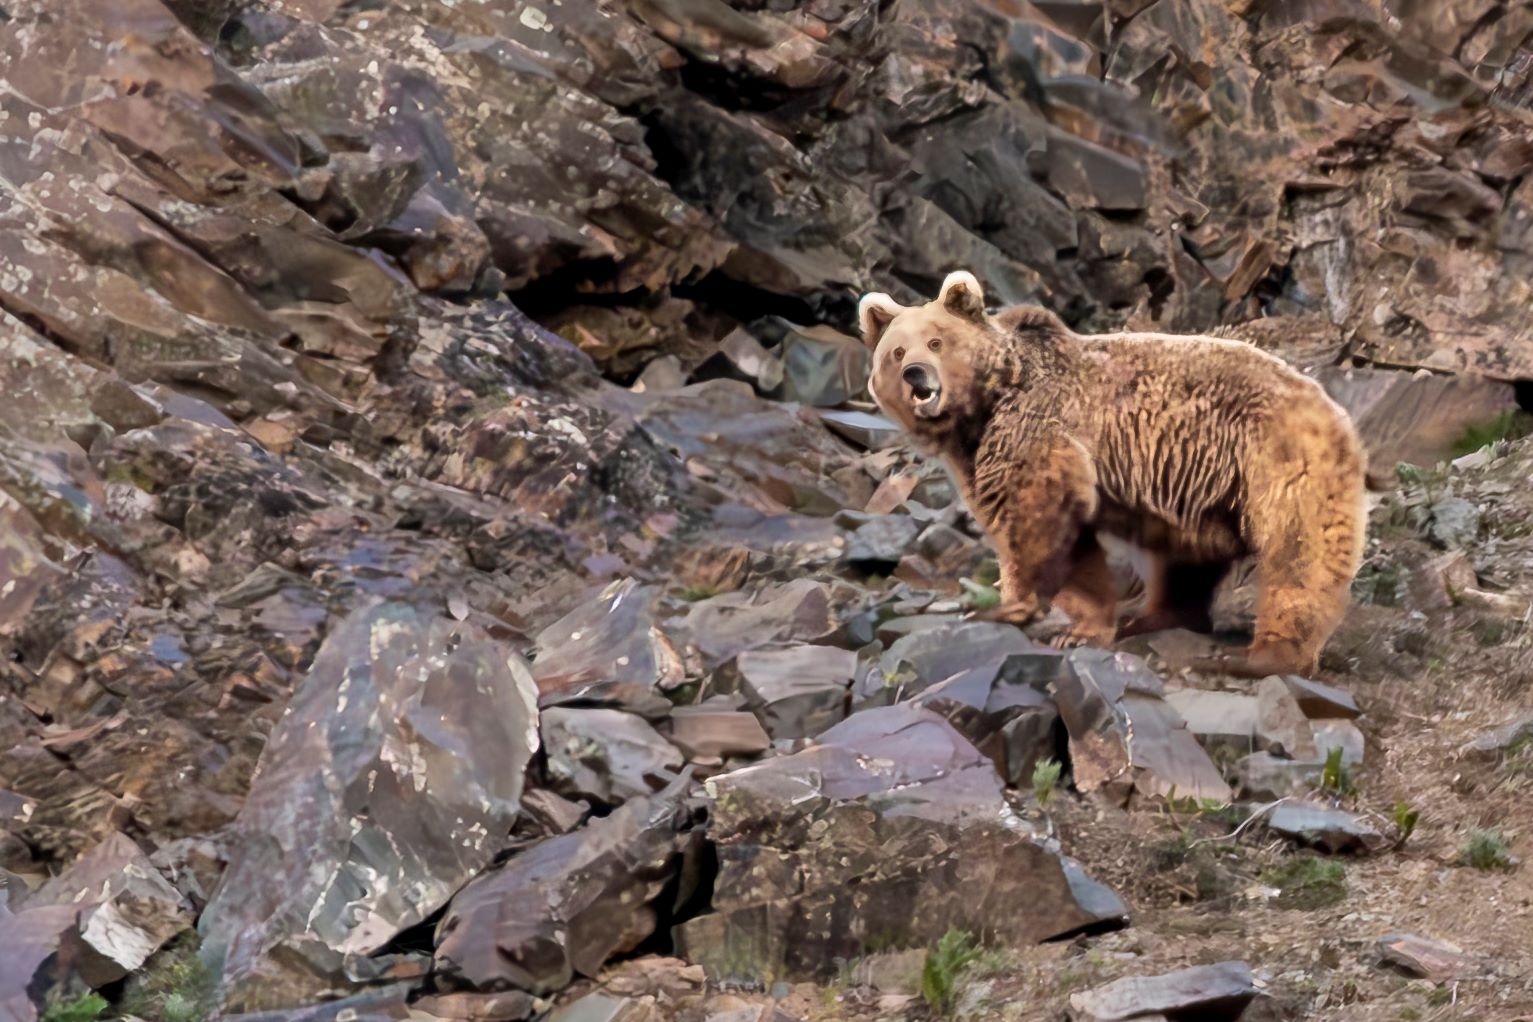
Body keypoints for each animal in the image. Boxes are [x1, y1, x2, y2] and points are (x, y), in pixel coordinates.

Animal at [858, 270, 1368, 677]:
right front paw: (1083, 628)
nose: (916, 374)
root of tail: (1332, 407)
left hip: (1275, 461)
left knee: (1297, 550)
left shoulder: (1034, 429)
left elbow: (1032, 514)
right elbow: (1075, 548)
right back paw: (1150, 617)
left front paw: (1010, 607)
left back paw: (1268, 655)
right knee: (1184, 561)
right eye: (897, 350)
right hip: (1198, 487)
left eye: (936, 341)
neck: (983, 409)